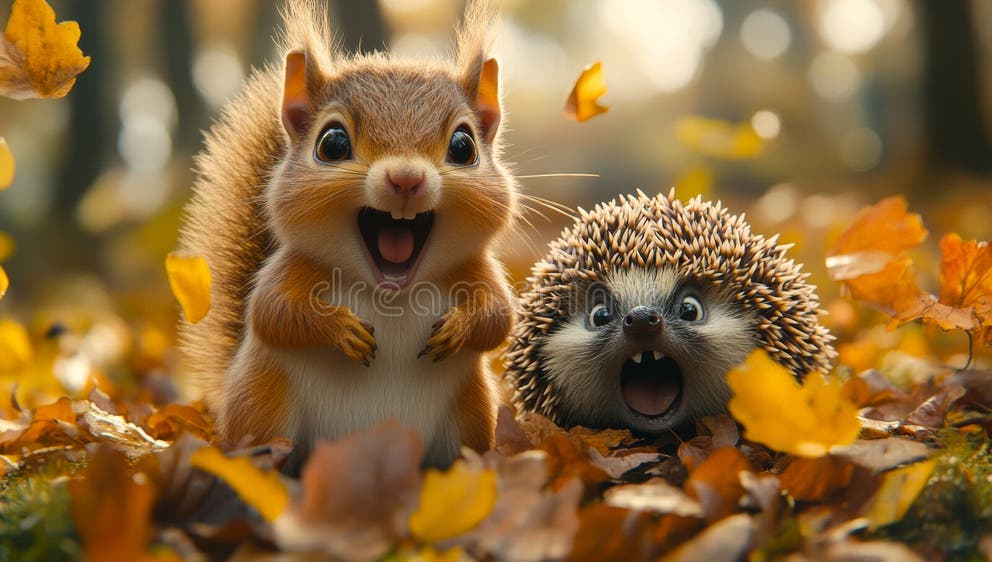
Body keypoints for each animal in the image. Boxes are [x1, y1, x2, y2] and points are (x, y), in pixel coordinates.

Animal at [177, 0, 516, 466]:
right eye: (332, 143)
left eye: (464, 147)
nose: (405, 179)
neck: (390, 293)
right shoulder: (290, 270)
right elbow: (273, 313)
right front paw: (339, 329)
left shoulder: (478, 272)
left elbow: (498, 317)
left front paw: (459, 328)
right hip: (263, 403)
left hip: (472, 413)